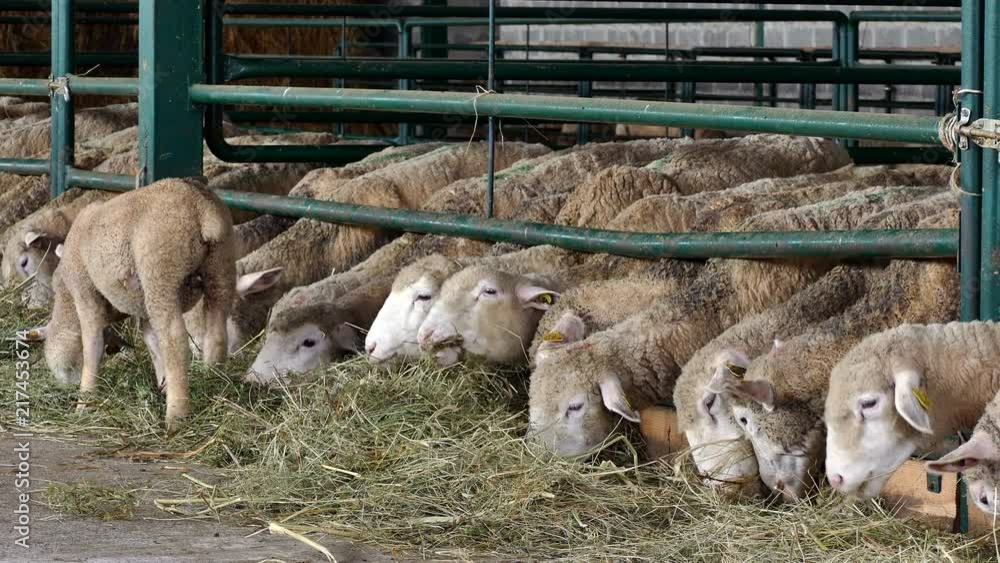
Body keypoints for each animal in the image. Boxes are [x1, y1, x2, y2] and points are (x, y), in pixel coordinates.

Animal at [45, 177, 236, 427]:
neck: (65, 300)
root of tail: (202, 209)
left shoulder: (85, 292)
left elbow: (92, 347)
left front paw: (84, 402)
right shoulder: (144, 312)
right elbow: (153, 344)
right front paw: (162, 384)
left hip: (160, 270)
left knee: (175, 340)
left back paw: (176, 414)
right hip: (221, 264)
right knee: (216, 330)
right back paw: (214, 383)